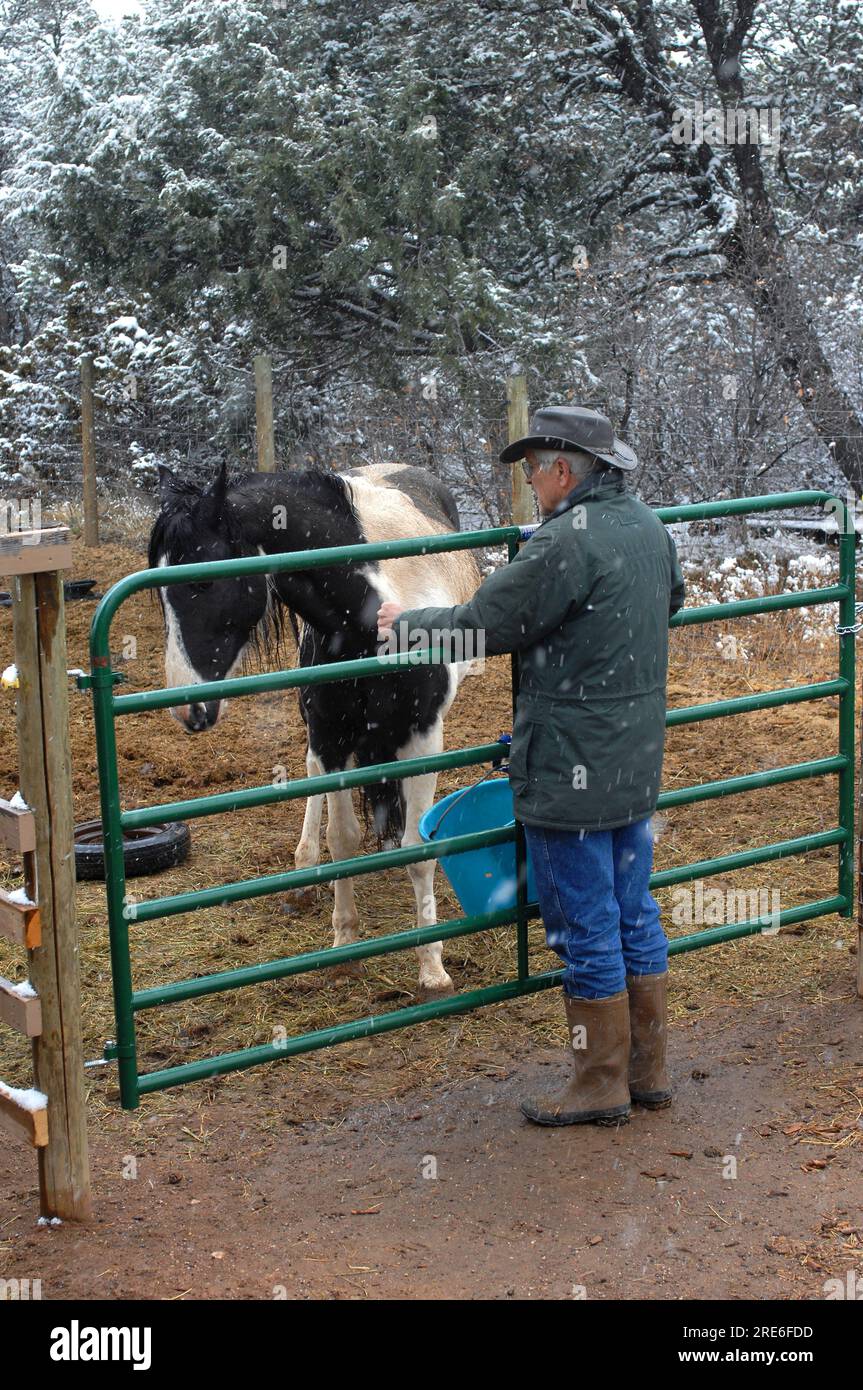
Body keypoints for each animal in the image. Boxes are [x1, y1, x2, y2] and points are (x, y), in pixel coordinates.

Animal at [148, 461, 480, 998]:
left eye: (201, 584)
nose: (188, 711)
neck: (371, 610)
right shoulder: (330, 735)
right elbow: (341, 838)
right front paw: (345, 948)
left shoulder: (424, 736)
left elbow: (419, 851)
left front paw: (432, 967)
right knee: (311, 777)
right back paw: (305, 868)